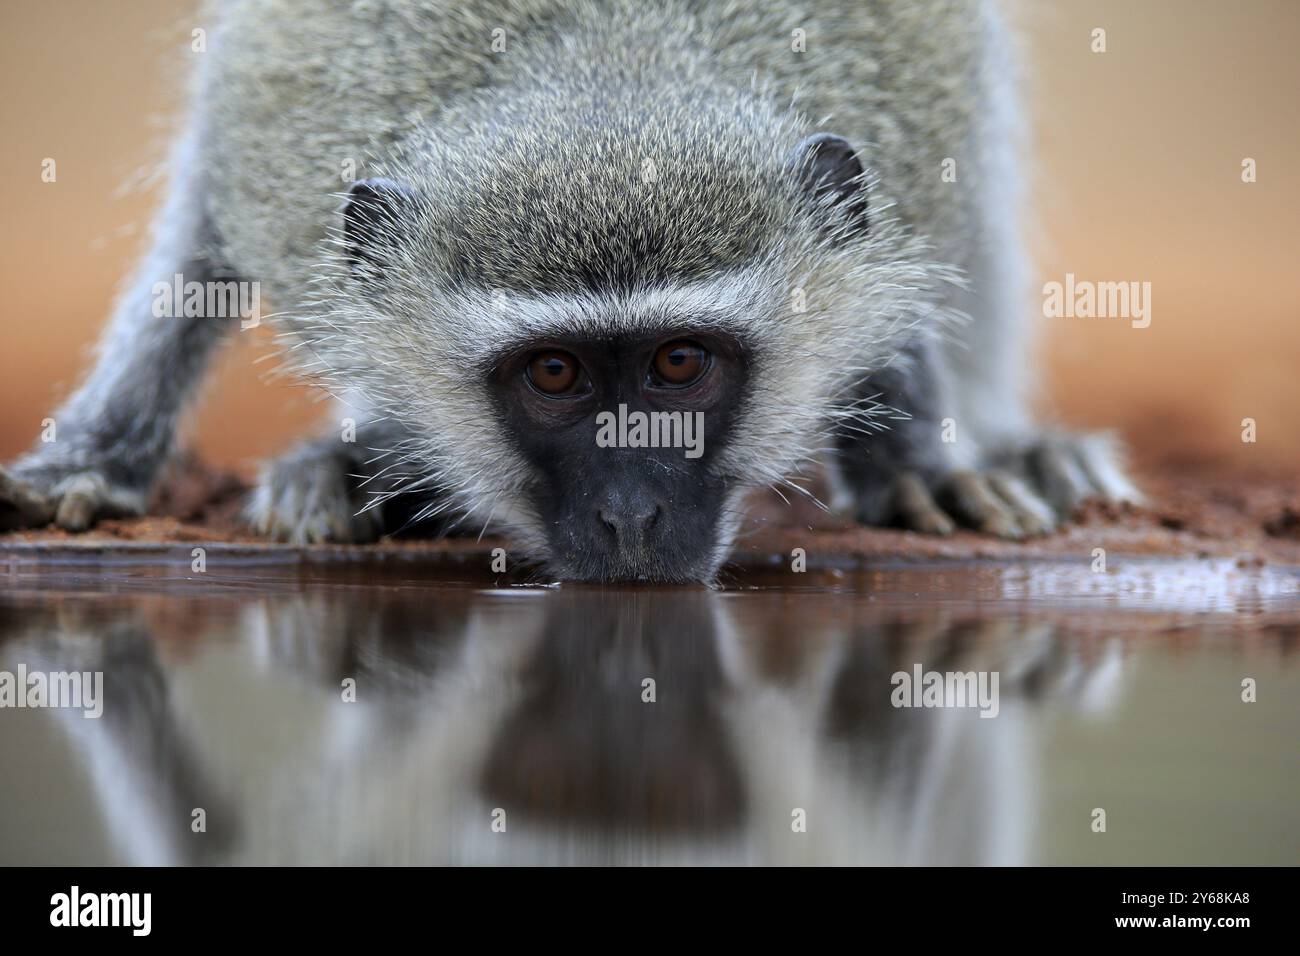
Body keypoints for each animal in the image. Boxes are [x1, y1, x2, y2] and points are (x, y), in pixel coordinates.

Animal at [0, 0, 1139, 582]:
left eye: (679, 364)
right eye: (553, 374)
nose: (631, 517)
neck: (608, 67)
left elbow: (892, 291)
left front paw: (915, 460)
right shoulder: (281, 150)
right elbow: (202, 235)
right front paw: (99, 455)